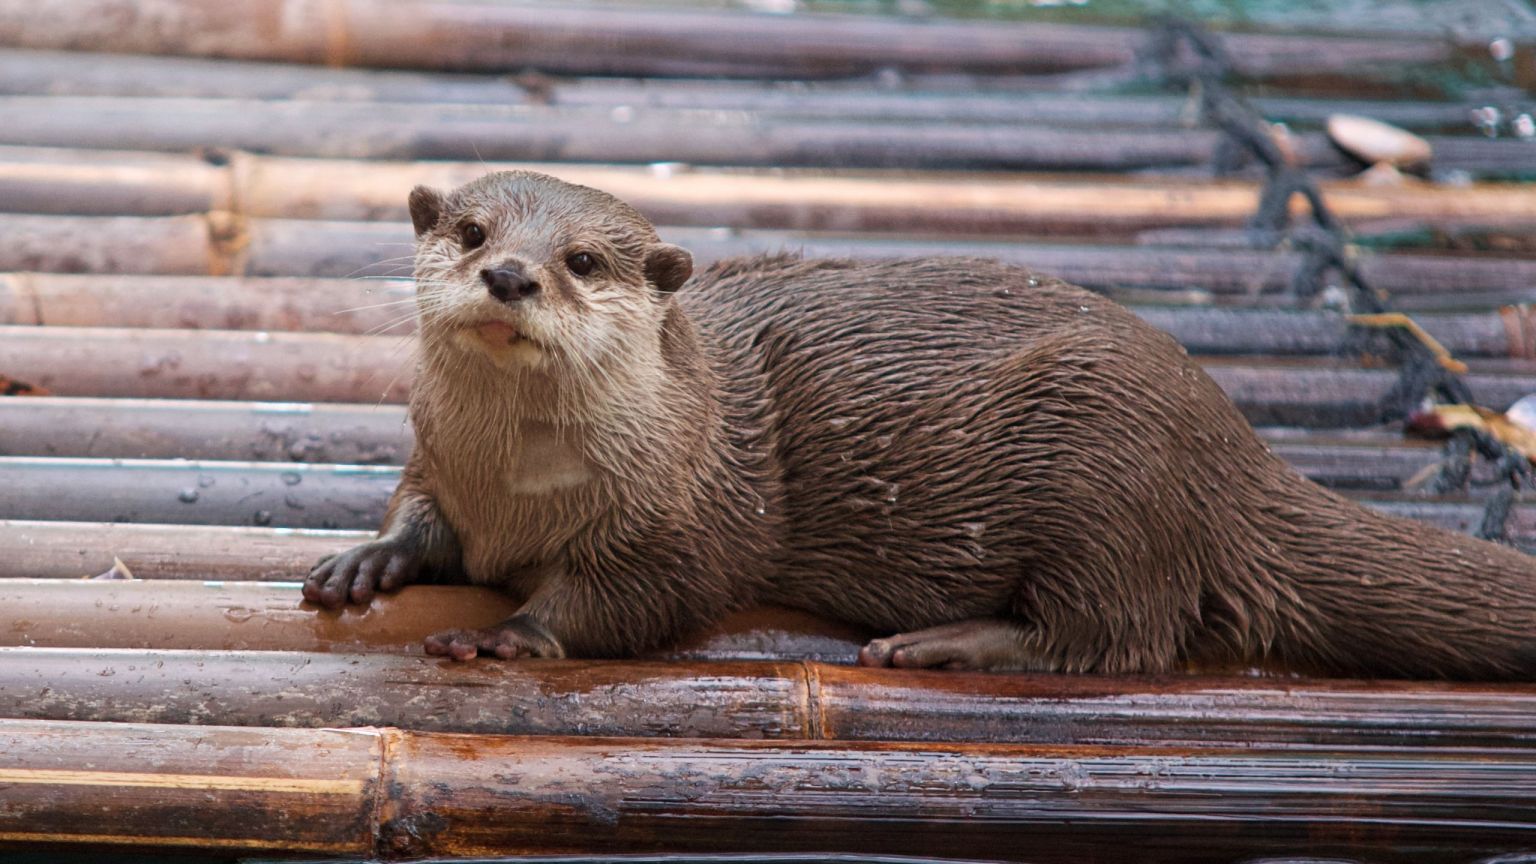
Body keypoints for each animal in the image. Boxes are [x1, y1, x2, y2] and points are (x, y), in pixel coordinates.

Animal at [303, 170, 1536, 679]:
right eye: (470, 231)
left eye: (584, 261)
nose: (510, 274)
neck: (521, 490)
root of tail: (1234, 448)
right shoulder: (438, 460)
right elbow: (418, 511)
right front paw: (369, 561)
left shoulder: (695, 514)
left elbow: (641, 600)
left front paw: (511, 633)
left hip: (1106, 460)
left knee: (1122, 633)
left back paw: (945, 641)